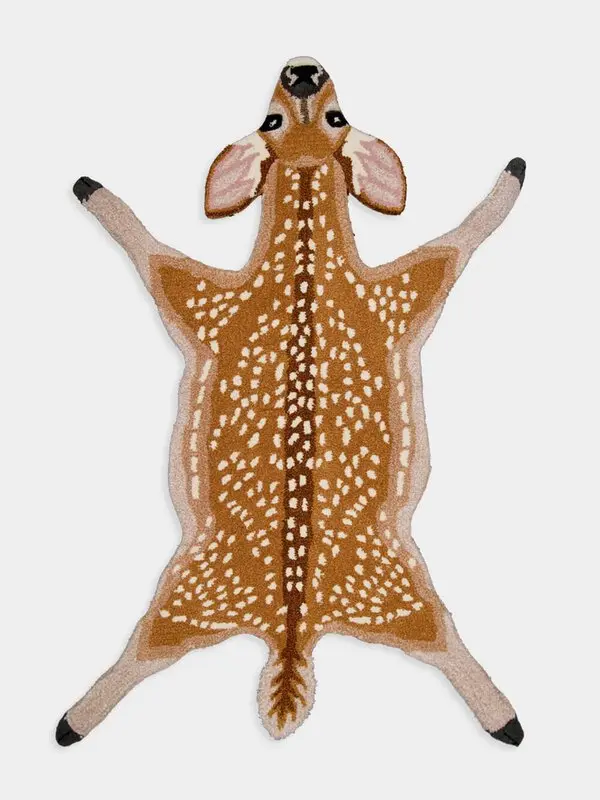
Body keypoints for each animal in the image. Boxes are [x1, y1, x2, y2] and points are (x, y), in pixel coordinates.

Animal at [57, 56, 526, 748]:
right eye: (271, 120)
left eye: (336, 116)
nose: (303, 69)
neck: (303, 263)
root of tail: (291, 633)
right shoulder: (202, 296)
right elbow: (149, 247)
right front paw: (90, 188)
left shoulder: (401, 291)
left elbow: (456, 240)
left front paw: (513, 173)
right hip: (200, 597)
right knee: (145, 647)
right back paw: (74, 719)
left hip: (391, 594)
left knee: (441, 639)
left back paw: (504, 717)